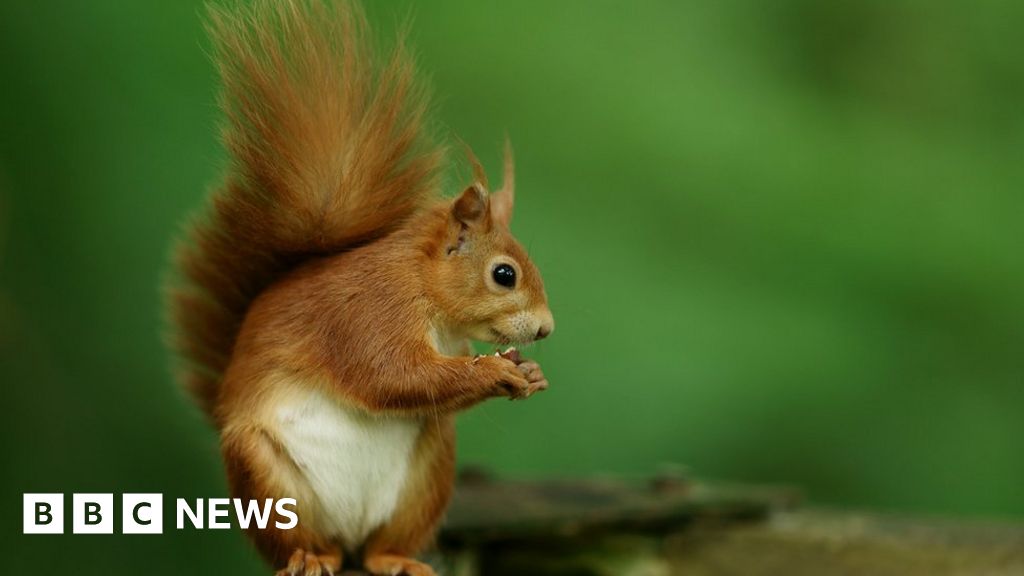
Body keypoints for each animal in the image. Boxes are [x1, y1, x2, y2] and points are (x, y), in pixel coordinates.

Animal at [166, 1, 554, 575]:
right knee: (302, 540)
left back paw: (395, 558)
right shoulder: (370, 315)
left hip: (426, 474)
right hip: (264, 478)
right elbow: (391, 376)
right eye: (504, 274)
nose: (547, 330)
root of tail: (346, 537)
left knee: (377, 548)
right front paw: (496, 372)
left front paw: (530, 373)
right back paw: (309, 556)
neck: (425, 295)